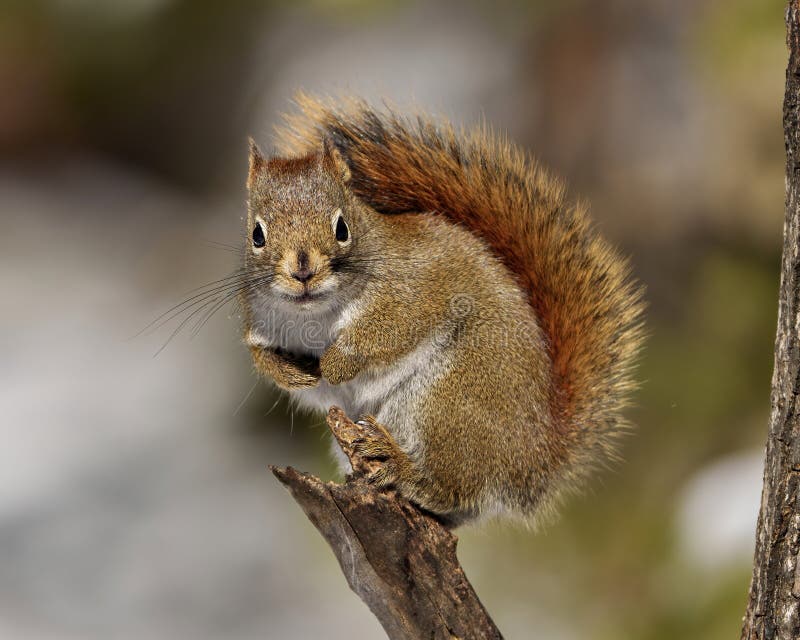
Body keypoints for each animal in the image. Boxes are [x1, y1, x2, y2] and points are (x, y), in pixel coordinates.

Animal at [240, 95, 644, 526]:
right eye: (256, 234)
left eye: (342, 228)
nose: (303, 271)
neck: (313, 314)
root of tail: (537, 457)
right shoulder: (262, 320)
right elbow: (260, 353)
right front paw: (287, 372)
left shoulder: (419, 288)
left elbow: (393, 328)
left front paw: (336, 363)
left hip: (448, 402)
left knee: (453, 487)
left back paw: (400, 466)